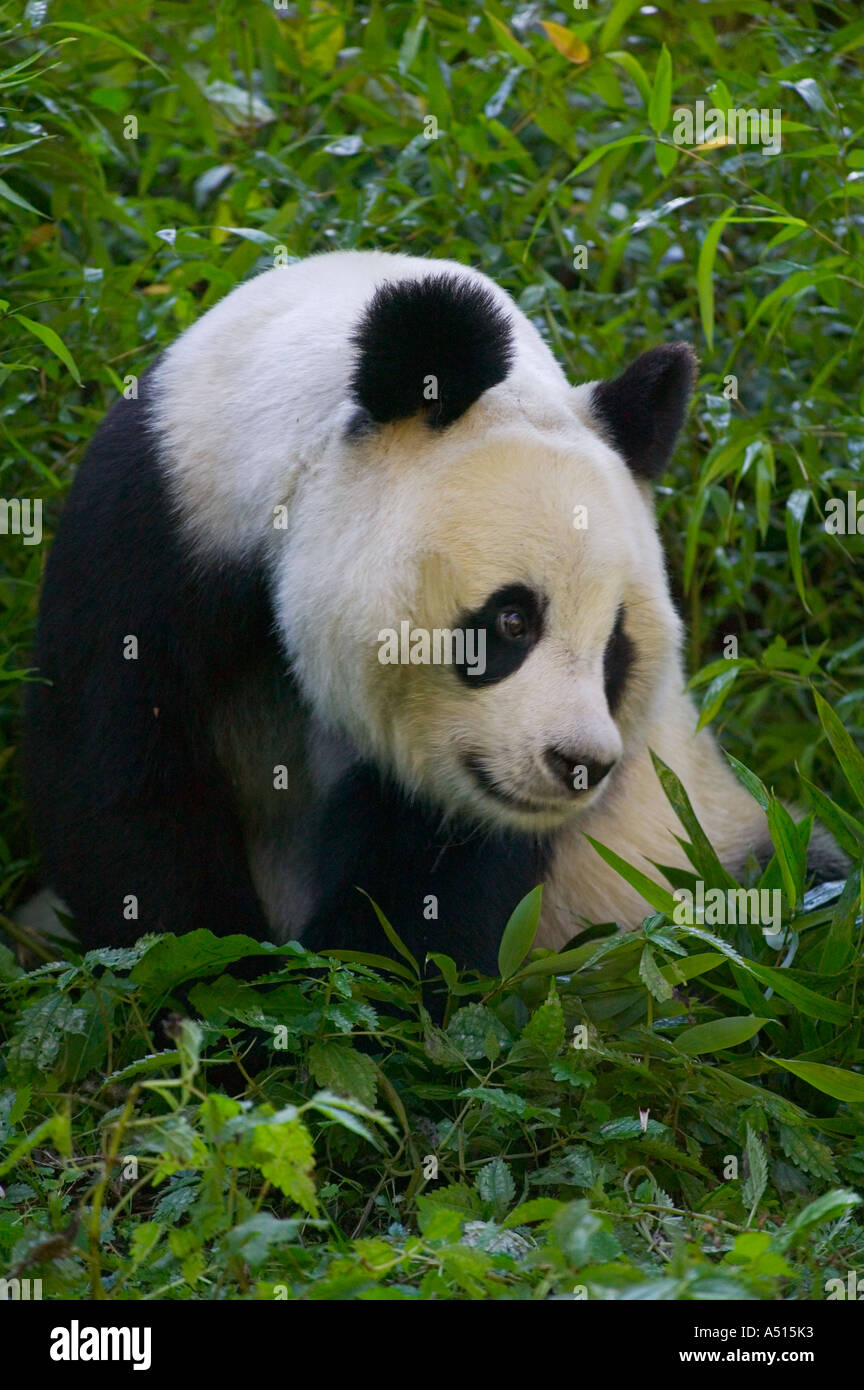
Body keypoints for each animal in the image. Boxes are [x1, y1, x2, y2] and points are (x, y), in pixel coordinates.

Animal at [23, 251, 843, 973]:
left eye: (617, 648)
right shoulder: (154, 530)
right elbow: (126, 785)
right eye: (513, 620)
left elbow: (428, 901)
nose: (579, 763)